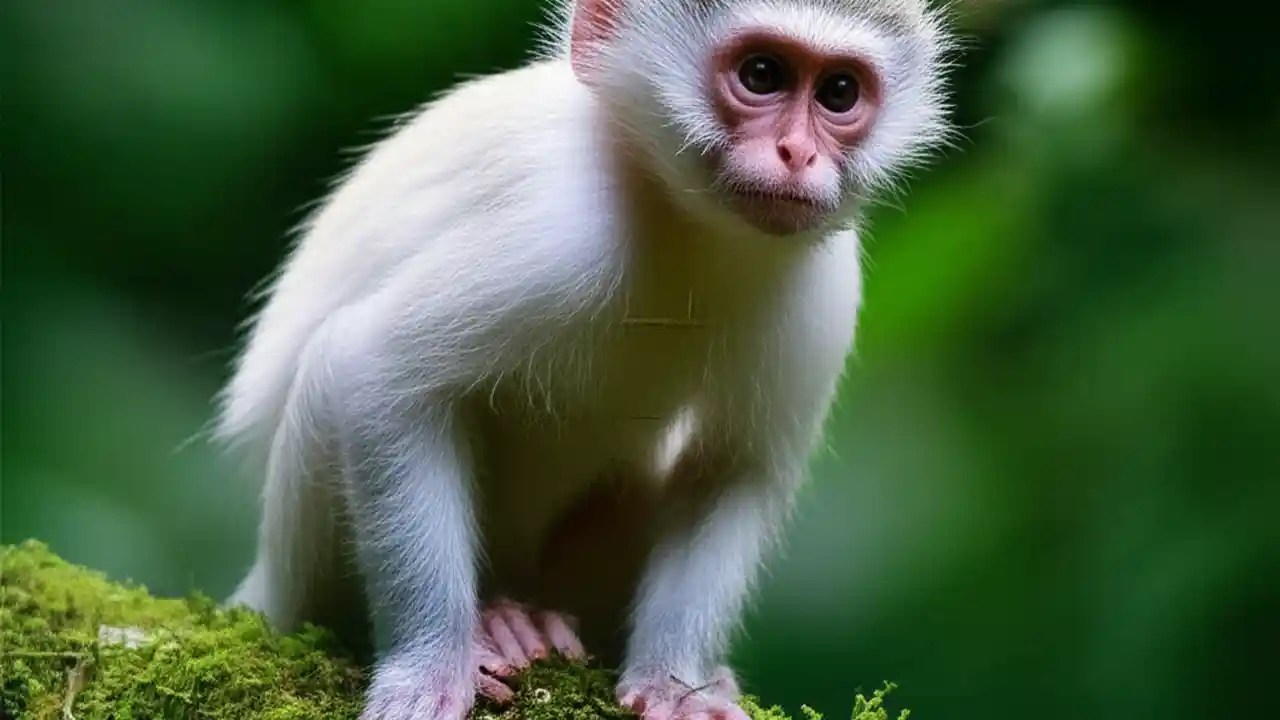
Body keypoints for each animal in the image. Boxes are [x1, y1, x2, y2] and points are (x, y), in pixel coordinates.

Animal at [219, 1, 952, 719]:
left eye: (839, 93)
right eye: (763, 74)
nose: (797, 153)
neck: (688, 222)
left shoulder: (825, 289)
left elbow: (731, 470)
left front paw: (674, 684)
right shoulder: (562, 231)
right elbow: (372, 373)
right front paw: (428, 670)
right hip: (300, 572)